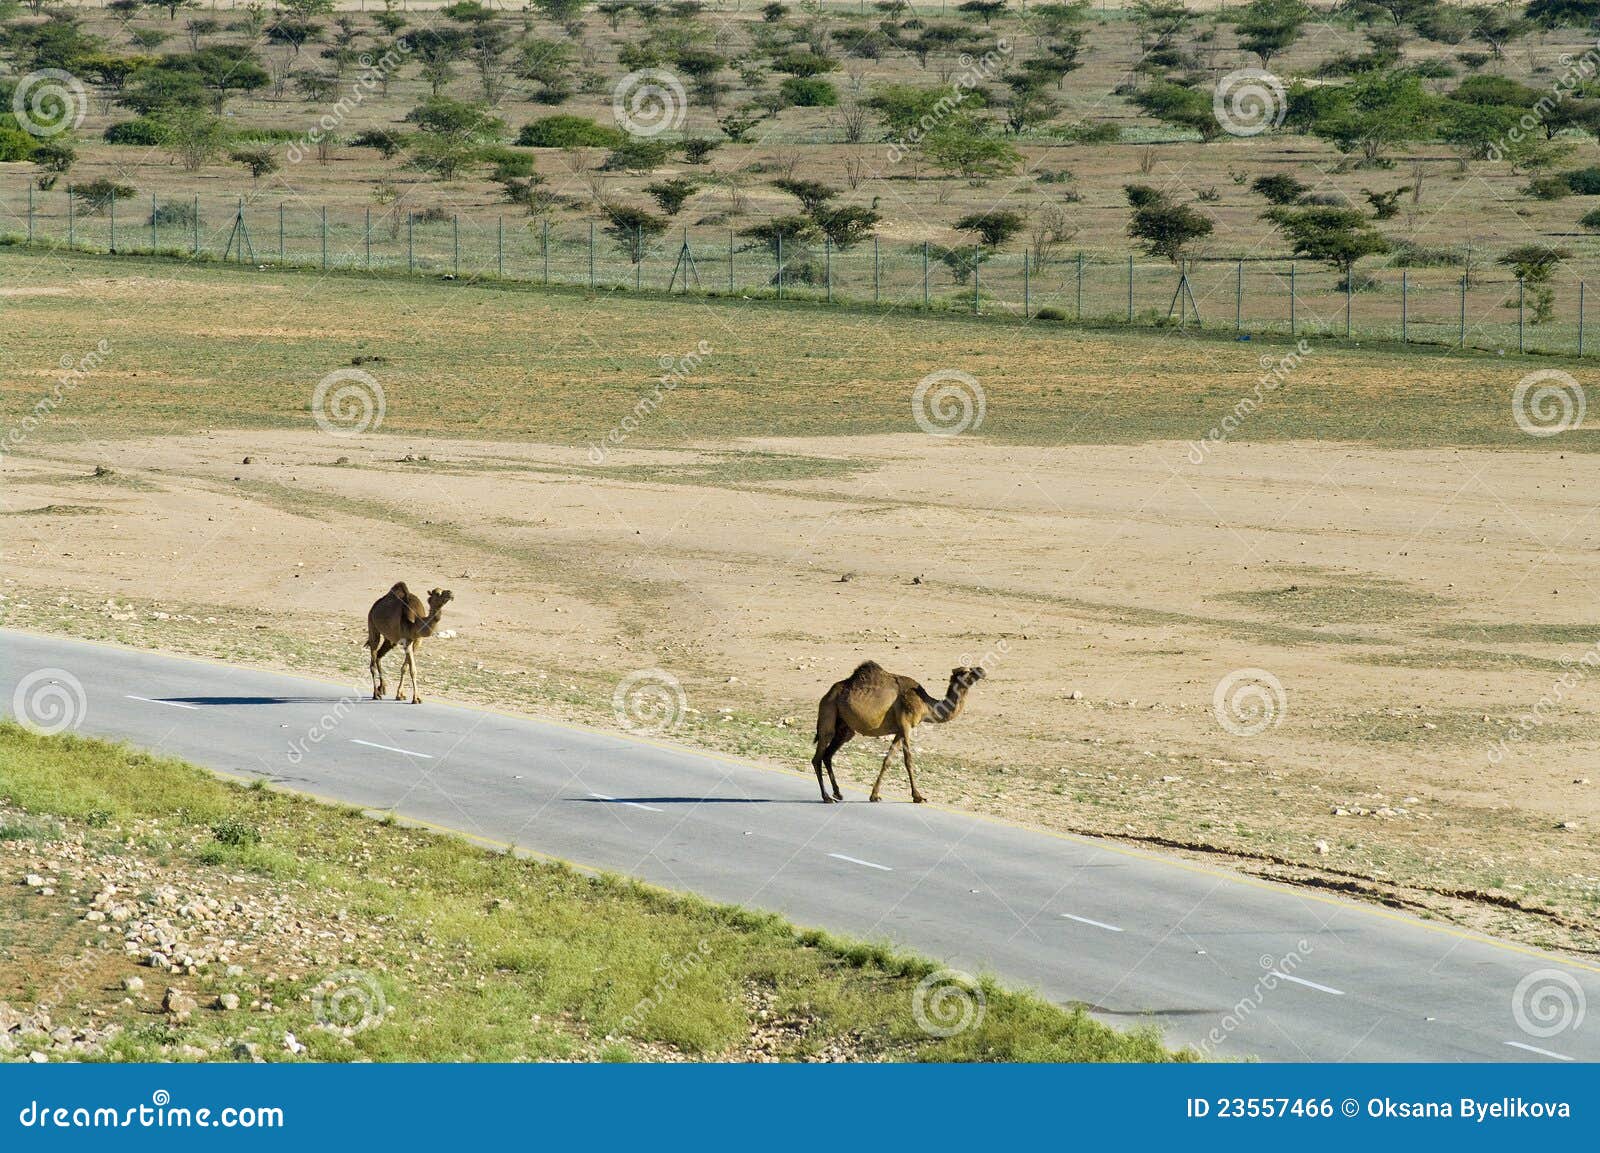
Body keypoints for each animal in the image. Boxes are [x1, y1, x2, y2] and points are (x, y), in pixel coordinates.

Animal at [811, 662, 986, 804]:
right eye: (966, 671)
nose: (982, 670)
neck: (925, 705)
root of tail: (827, 694)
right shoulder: (906, 725)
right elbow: (908, 761)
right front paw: (918, 797)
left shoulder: (899, 731)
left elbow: (887, 760)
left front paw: (874, 795)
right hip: (828, 711)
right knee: (818, 756)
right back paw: (826, 797)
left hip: (845, 728)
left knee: (828, 755)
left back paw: (838, 793)